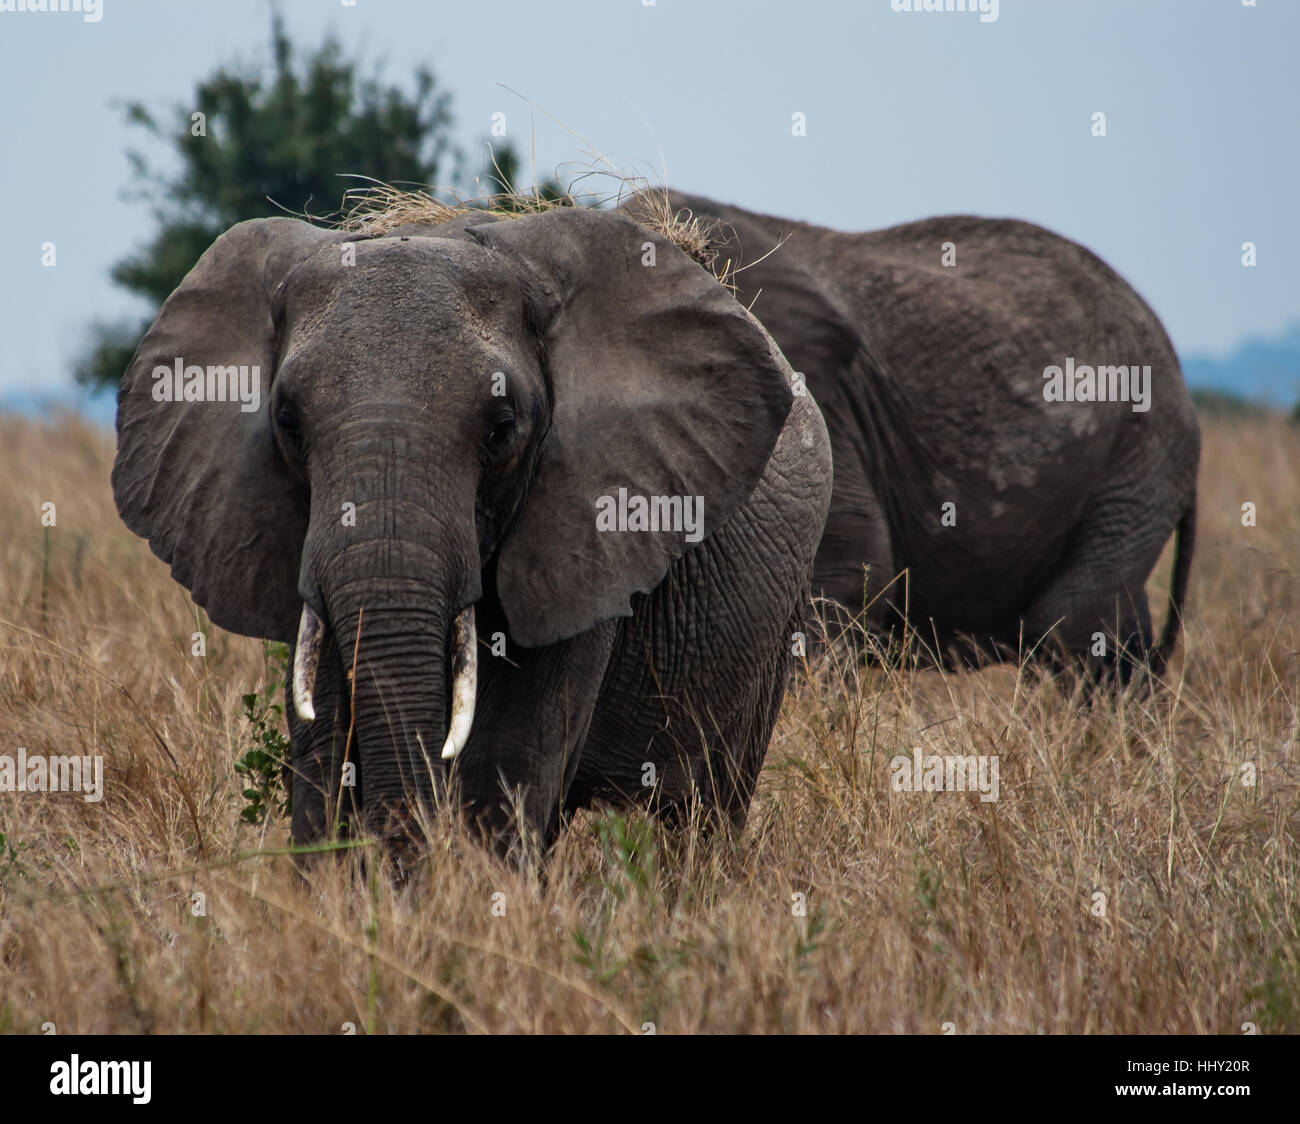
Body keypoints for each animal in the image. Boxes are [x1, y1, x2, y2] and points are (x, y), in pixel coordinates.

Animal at [112, 205, 833, 853]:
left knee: (703, 813)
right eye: (287, 421)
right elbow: (321, 748)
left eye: (502, 428)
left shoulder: (588, 532)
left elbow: (506, 768)